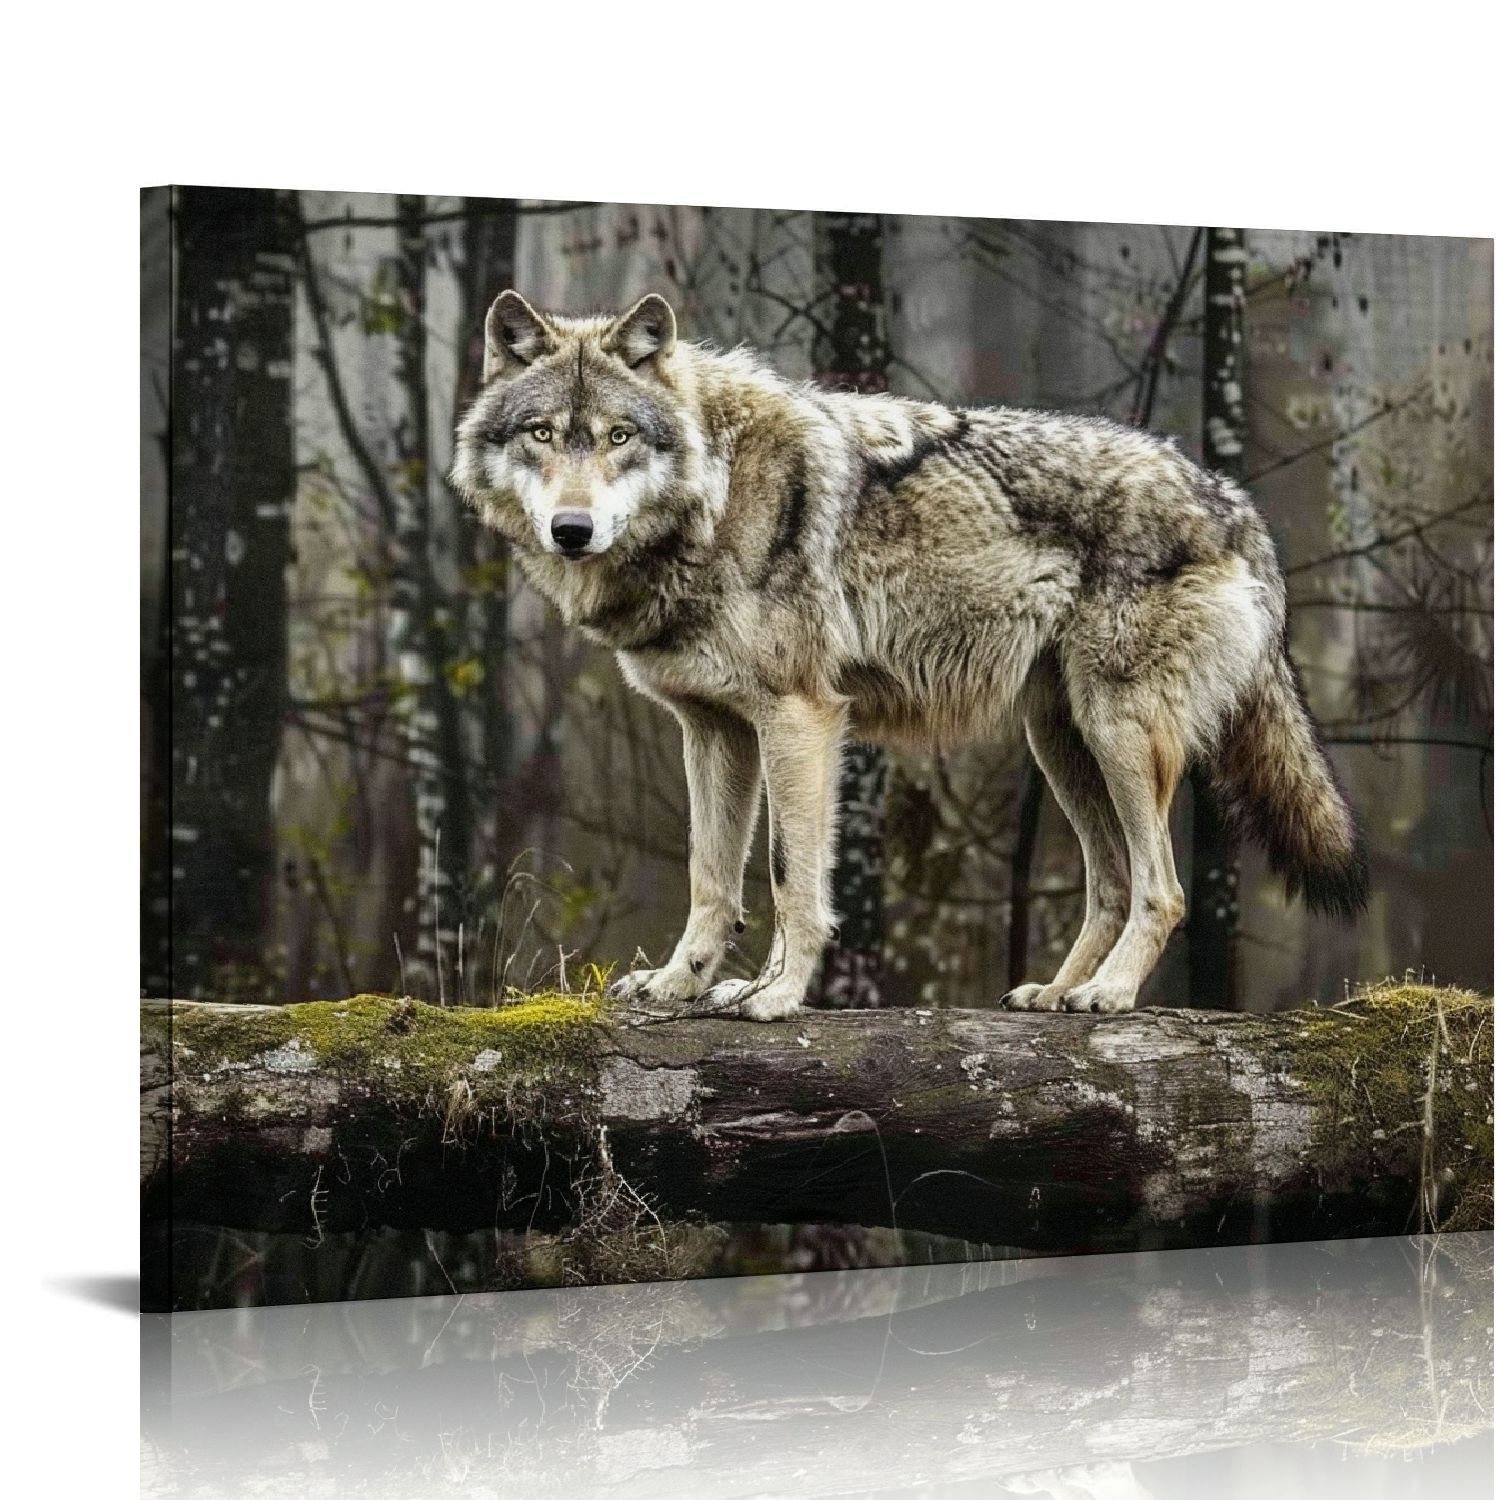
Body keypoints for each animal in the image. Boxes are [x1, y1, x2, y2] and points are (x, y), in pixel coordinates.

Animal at [450, 291, 1367, 1021]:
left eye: (617, 436)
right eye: (541, 434)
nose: (572, 530)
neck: (715, 494)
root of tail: (1234, 501)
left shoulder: (801, 716)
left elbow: (790, 876)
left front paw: (776, 997)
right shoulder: (714, 729)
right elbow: (712, 877)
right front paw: (681, 984)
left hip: (1119, 733)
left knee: (1161, 890)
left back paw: (1107, 994)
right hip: (1063, 744)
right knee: (1110, 887)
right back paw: (1056, 991)